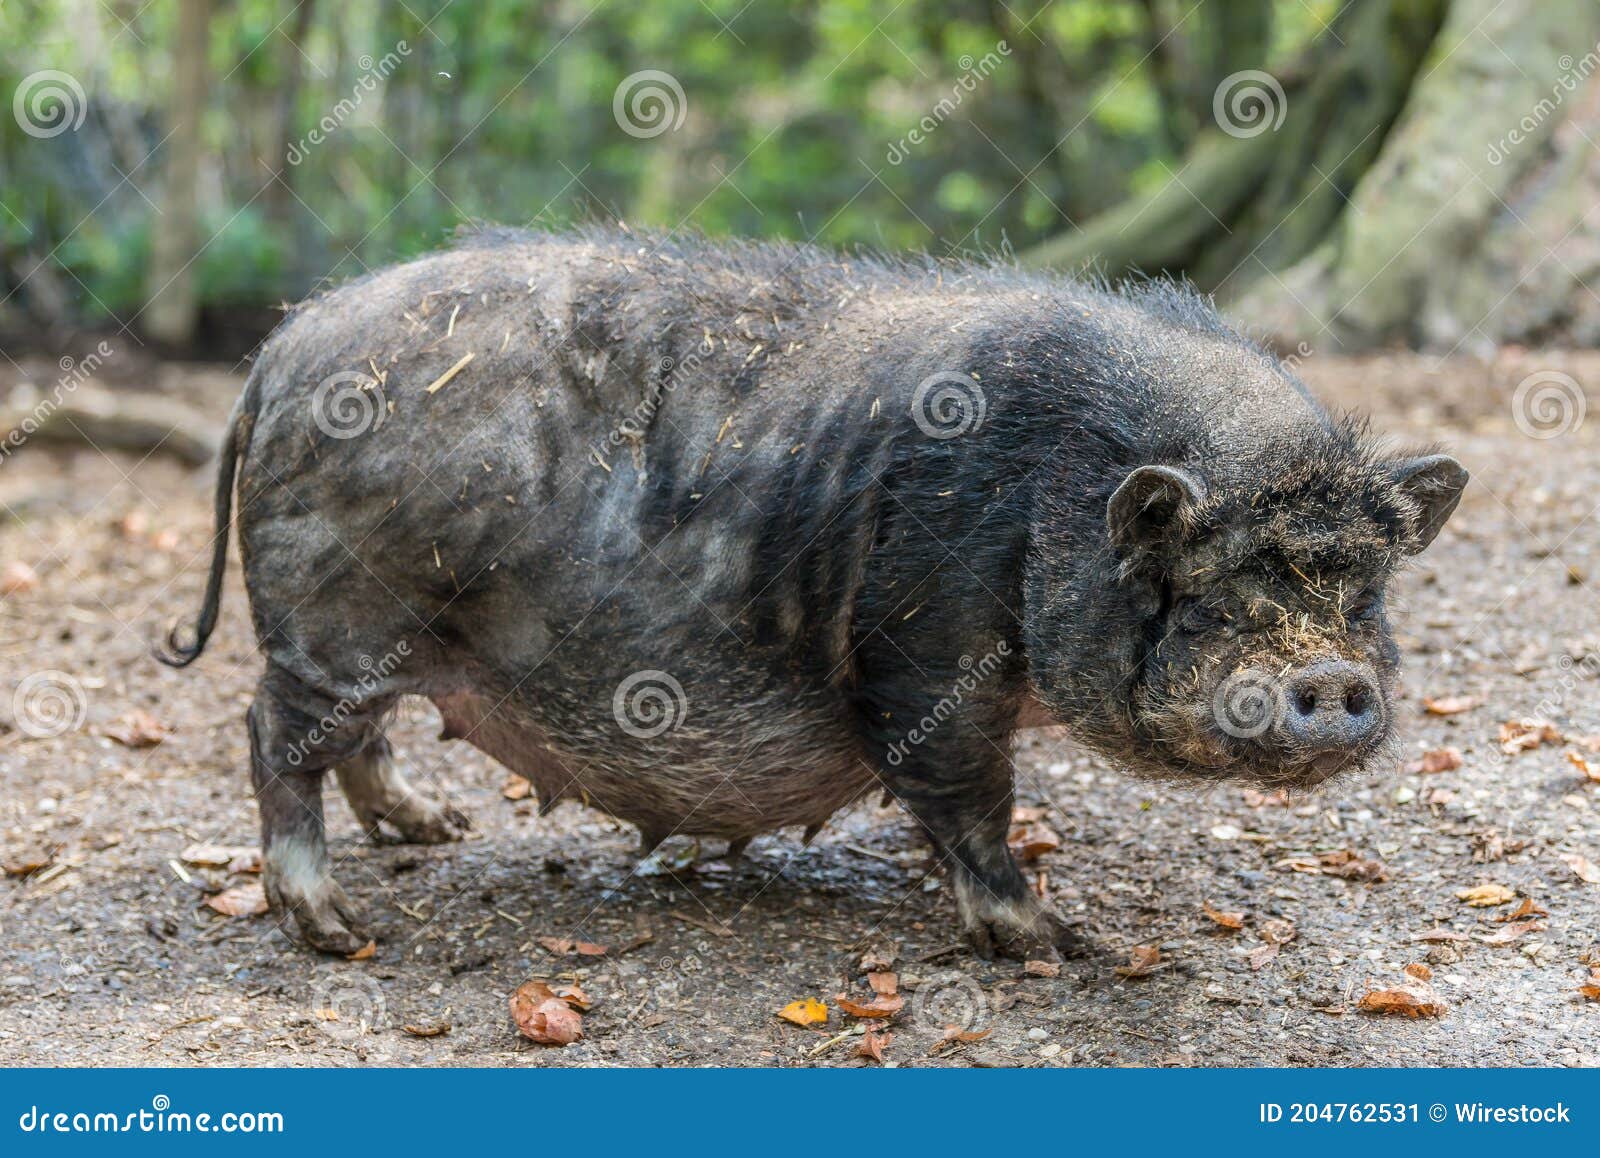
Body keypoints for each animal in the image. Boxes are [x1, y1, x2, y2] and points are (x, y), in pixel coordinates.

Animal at [160, 226, 1467, 959]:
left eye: (1364, 589)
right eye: (1203, 588)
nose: (1333, 680)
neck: (1057, 490)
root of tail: (280, 350)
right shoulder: (925, 648)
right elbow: (968, 792)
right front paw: (1055, 943)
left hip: (384, 634)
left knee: (360, 740)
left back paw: (435, 830)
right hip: (334, 614)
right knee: (275, 736)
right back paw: (342, 932)